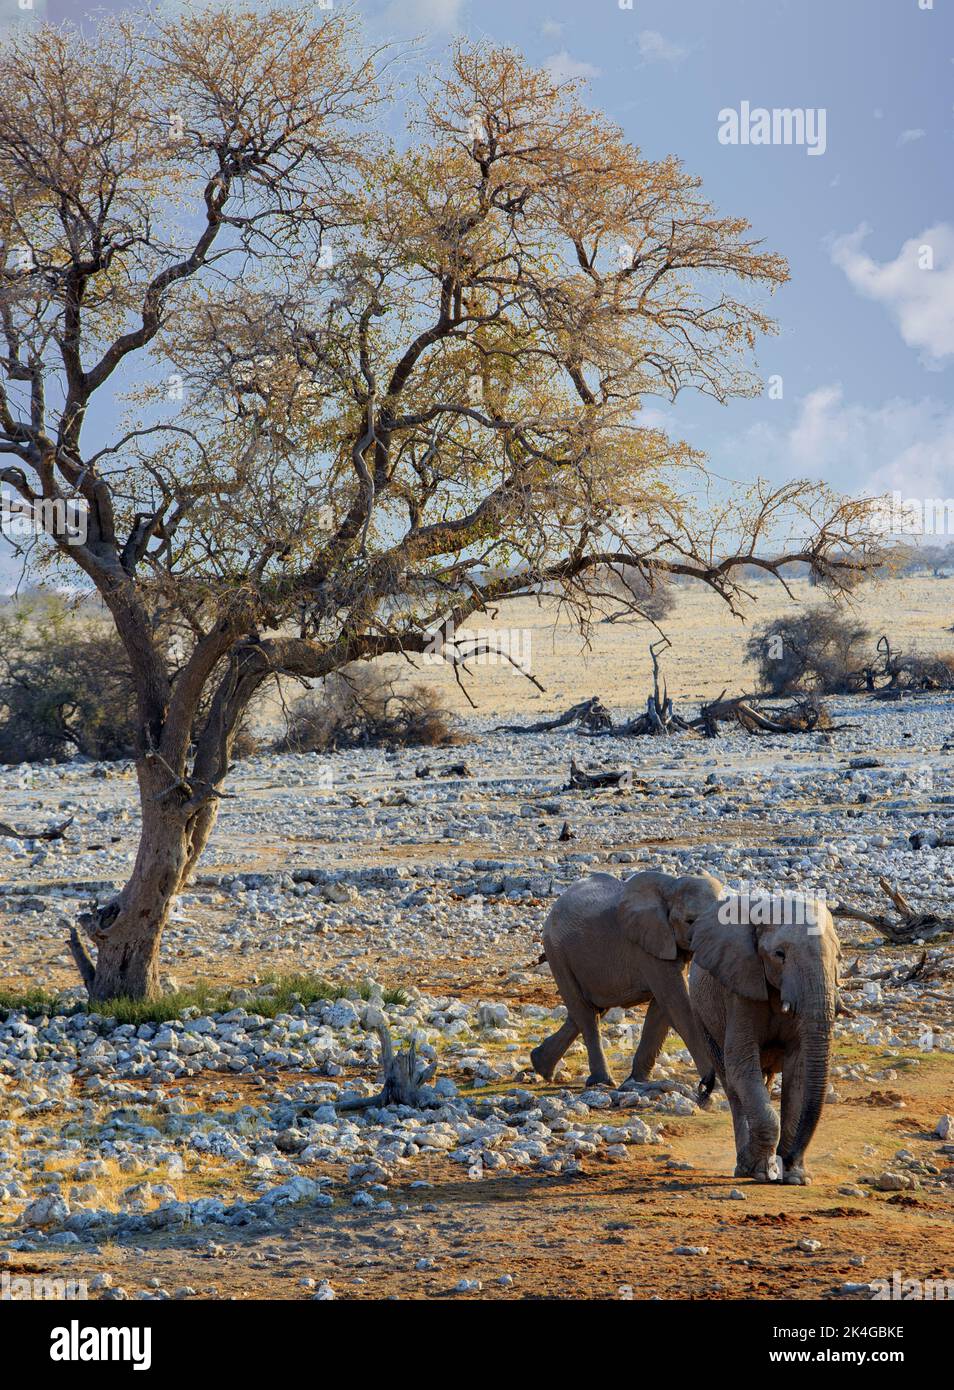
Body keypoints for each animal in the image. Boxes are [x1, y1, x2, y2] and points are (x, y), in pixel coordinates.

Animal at [529, 869, 724, 1090]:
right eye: (689, 921)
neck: (671, 887)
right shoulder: (648, 945)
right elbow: (677, 1008)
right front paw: (715, 1087)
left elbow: (661, 1010)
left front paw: (638, 1081)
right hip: (557, 952)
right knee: (585, 1013)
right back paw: (602, 1082)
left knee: (590, 1009)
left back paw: (540, 1065)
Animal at [688, 892, 840, 1185]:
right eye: (779, 955)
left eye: (838, 956)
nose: (788, 1159)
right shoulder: (739, 989)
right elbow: (741, 1063)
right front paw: (761, 1172)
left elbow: (799, 1069)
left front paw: (795, 1178)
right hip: (702, 1016)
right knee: (732, 1084)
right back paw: (744, 1165)